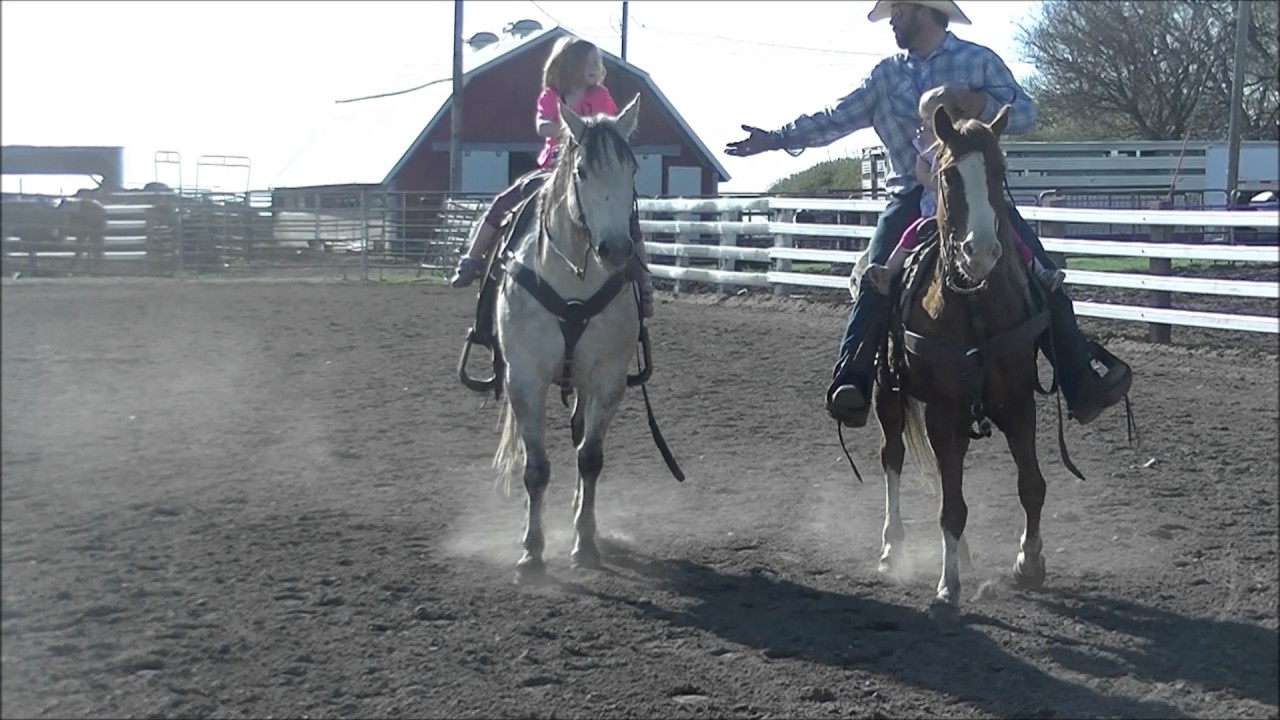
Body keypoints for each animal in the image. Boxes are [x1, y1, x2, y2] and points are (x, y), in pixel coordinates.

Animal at [489, 95, 644, 585]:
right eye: (582, 171)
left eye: (632, 169)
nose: (617, 250)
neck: (573, 274)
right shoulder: (525, 377)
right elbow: (536, 468)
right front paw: (531, 553)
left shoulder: (608, 377)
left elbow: (590, 458)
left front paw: (586, 543)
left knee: (581, 441)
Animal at [872, 104, 1054, 607]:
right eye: (949, 176)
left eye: (1000, 171)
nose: (982, 251)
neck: (976, 309)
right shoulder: (942, 411)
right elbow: (950, 507)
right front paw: (947, 585)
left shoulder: (1018, 403)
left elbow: (1031, 485)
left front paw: (1029, 562)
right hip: (887, 394)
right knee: (892, 457)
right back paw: (892, 548)